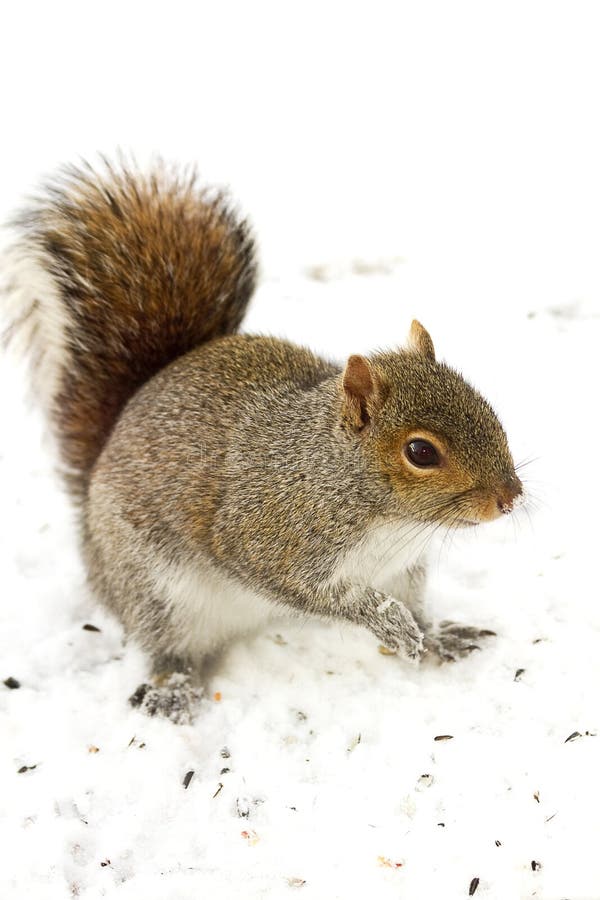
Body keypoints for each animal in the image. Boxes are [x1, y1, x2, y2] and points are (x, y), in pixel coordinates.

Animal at [2, 159, 522, 722]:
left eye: (487, 407)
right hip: (156, 591)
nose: (509, 499)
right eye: (420, 452)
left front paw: (433, 636)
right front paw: (391, 625)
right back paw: (171, 688)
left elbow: (414, 608)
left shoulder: (402, 570)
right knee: (166, 646)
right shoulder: (266, 539)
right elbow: (331, 598)